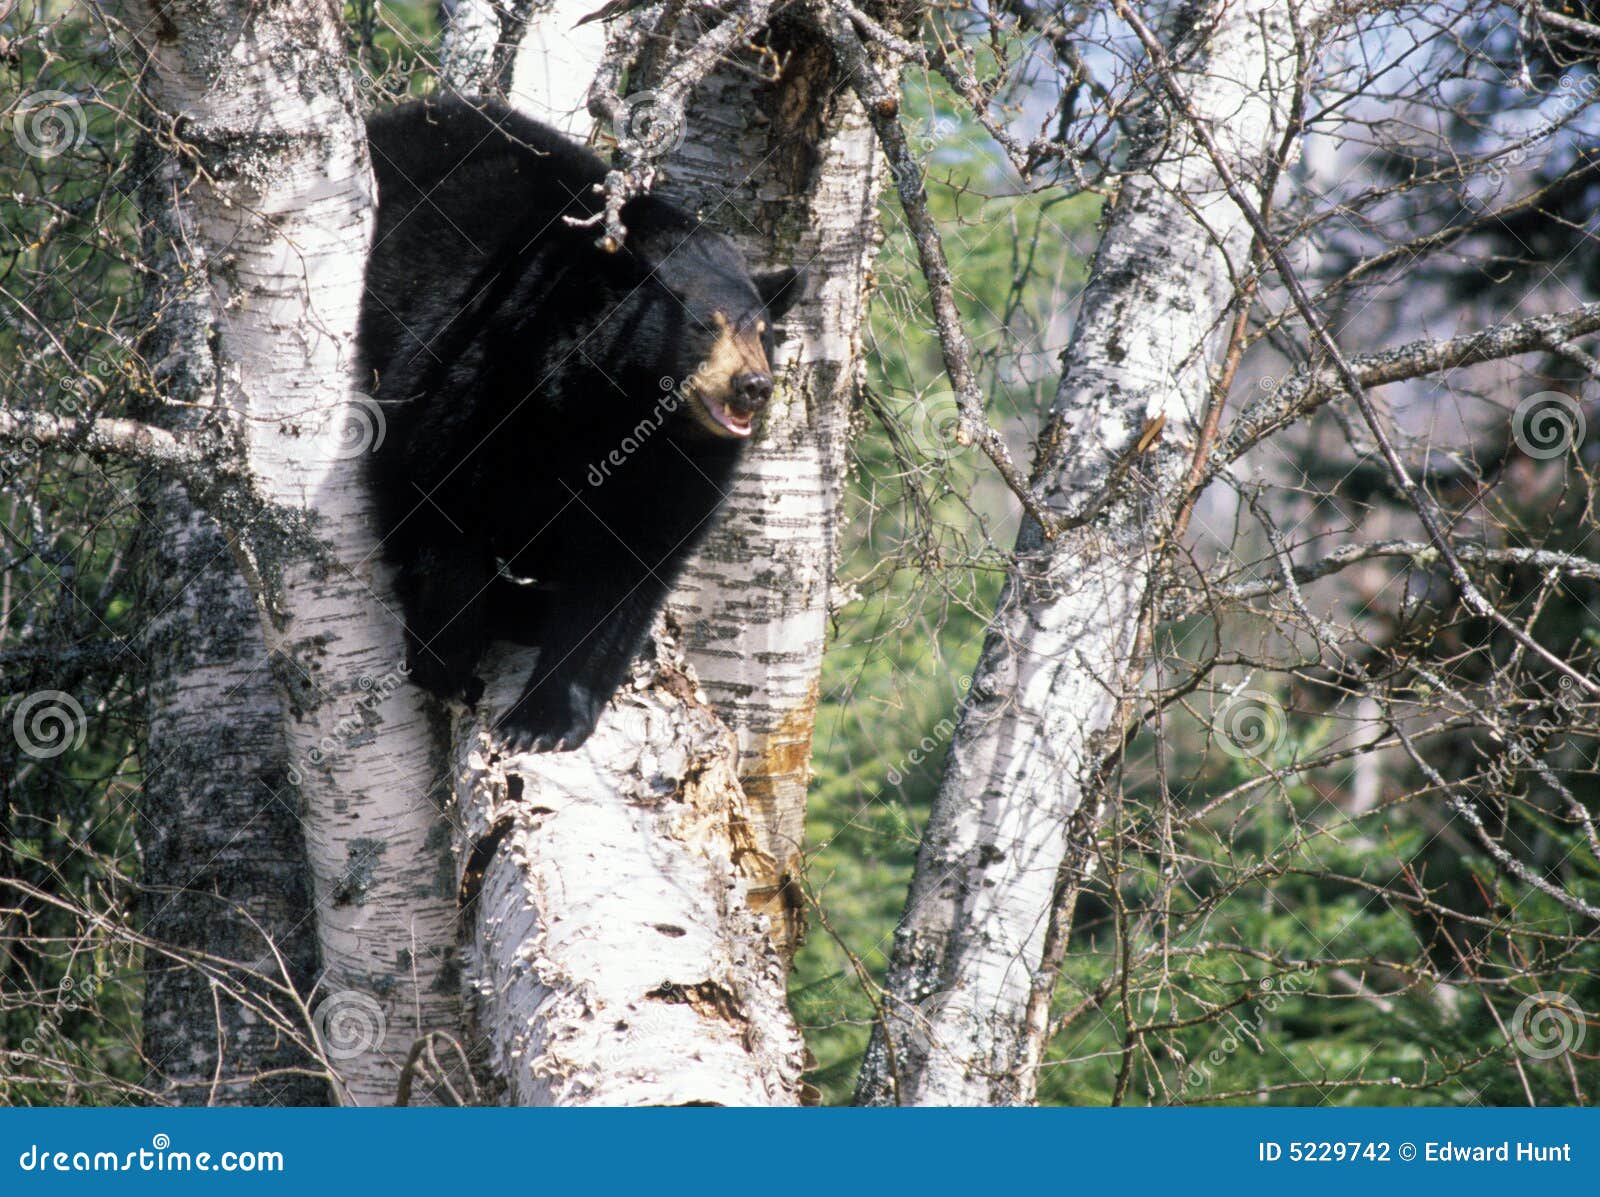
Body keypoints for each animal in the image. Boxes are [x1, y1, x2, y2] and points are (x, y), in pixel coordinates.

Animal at [357, 98, 800, 754]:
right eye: (703, 326)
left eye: (763, 333)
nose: (754, 385)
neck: (607, 406)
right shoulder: (481, 362)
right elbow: (431, 487)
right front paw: (449, 659)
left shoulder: (675, 466)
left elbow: (623, 572)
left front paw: (541, 721)